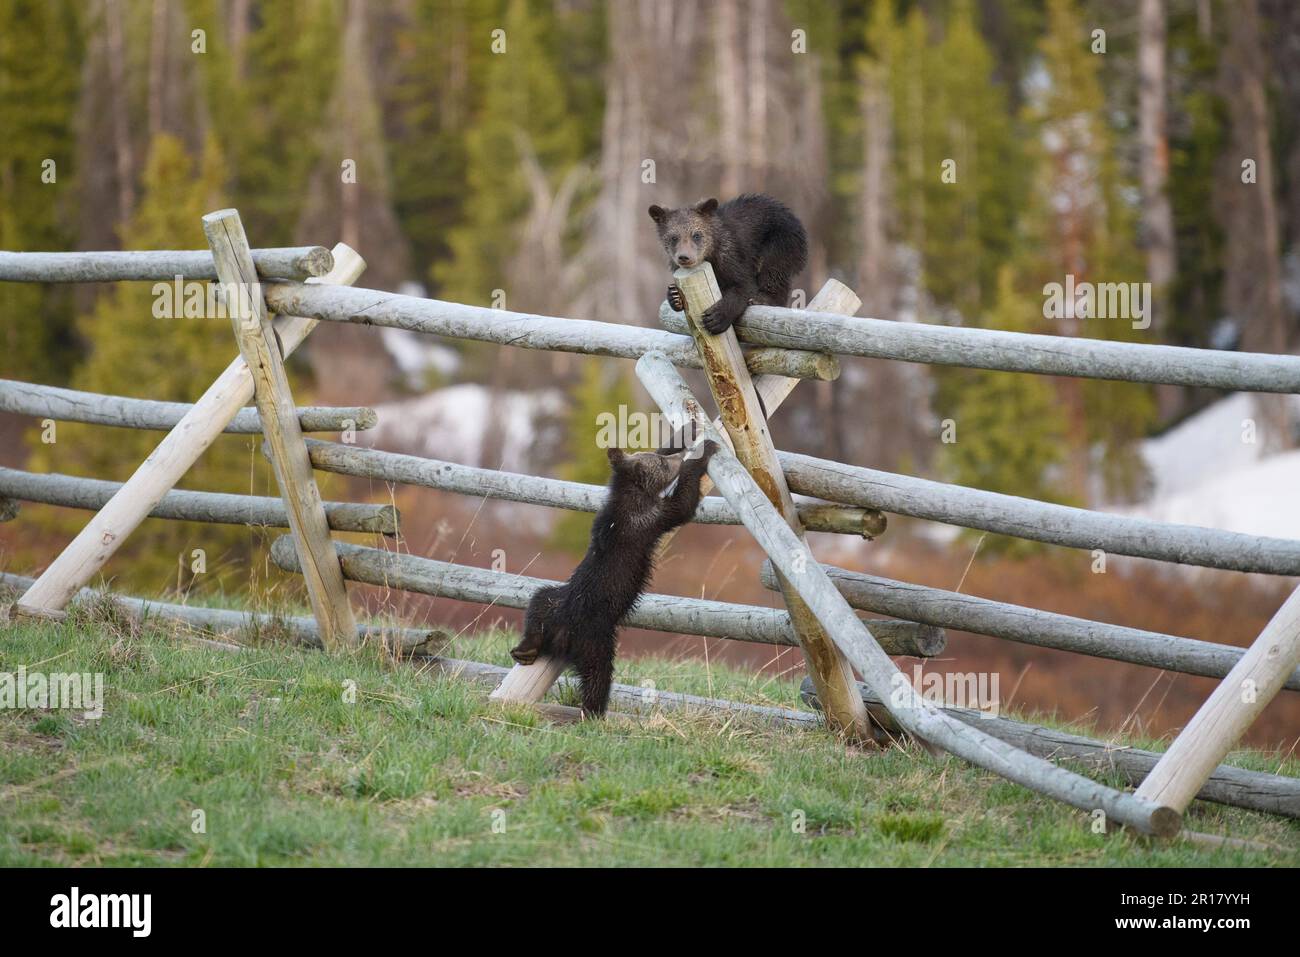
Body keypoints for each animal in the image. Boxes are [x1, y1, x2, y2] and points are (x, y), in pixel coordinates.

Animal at [509, 439, 720, 716]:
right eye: (662, 464)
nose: (679, 456)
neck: (631, 496)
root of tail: (562, 630)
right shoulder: (649, 518)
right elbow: (682, 504)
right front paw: (705, 450)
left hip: (556, 603)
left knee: (538, 601)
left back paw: (524, 650)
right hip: (595, 638)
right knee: (599, 675)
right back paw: (594, 711)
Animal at [649, 193, 808, 335]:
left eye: (696, 235)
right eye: (673, 237)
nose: (684, 257)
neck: (710, 255)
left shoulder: (731, 256)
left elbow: (744, 285)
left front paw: (716, 318)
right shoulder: (676, 265)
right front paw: (674, 296)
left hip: (780, 241)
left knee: (773, 270)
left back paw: (764, 298)